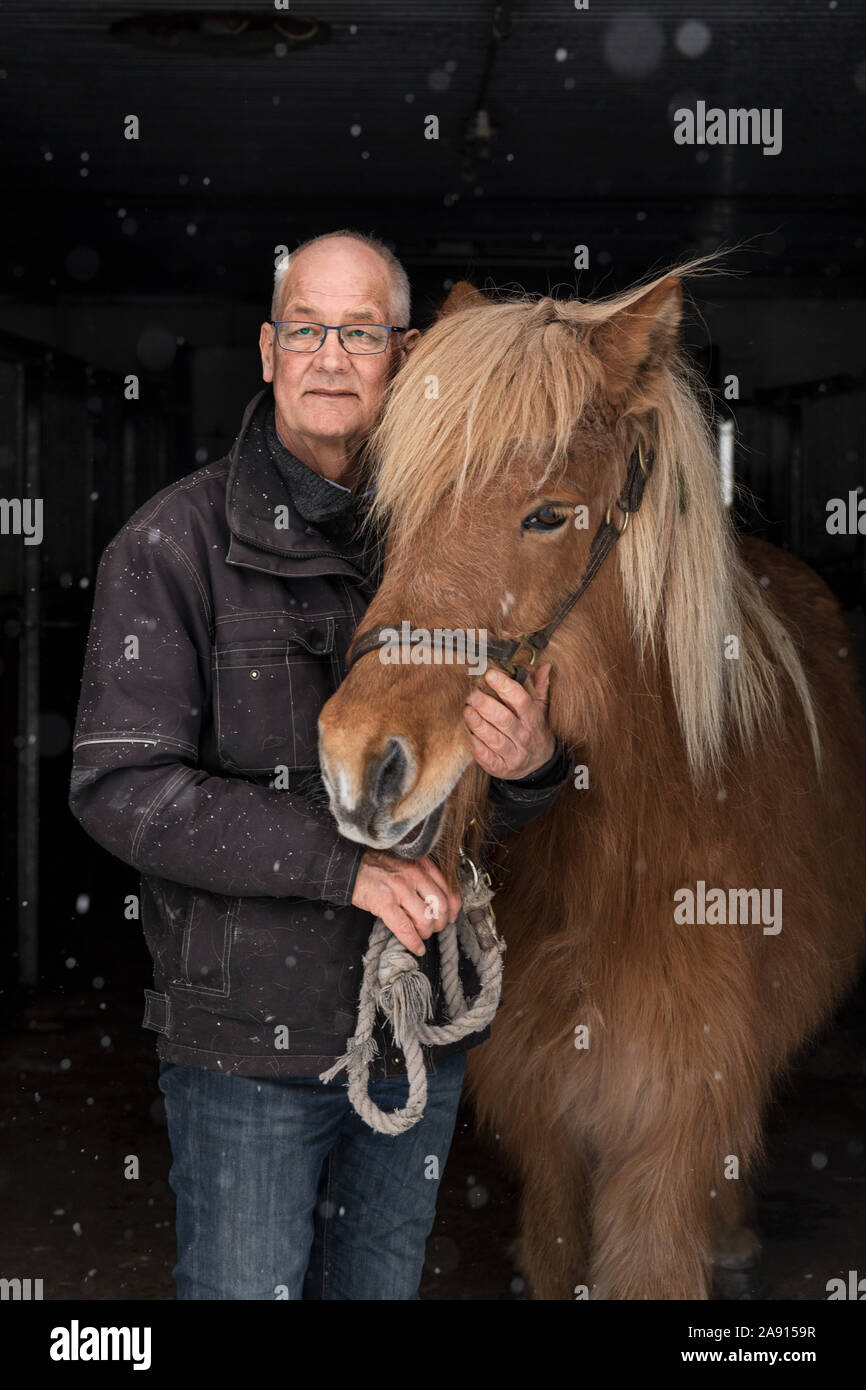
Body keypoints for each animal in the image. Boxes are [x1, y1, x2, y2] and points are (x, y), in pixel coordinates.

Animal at [317, 259, 866, 1299]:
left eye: (548, 515)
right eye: (399, 514)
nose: (359, 760)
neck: (630, 860)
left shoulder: (673, 1126)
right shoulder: (549, 1129)